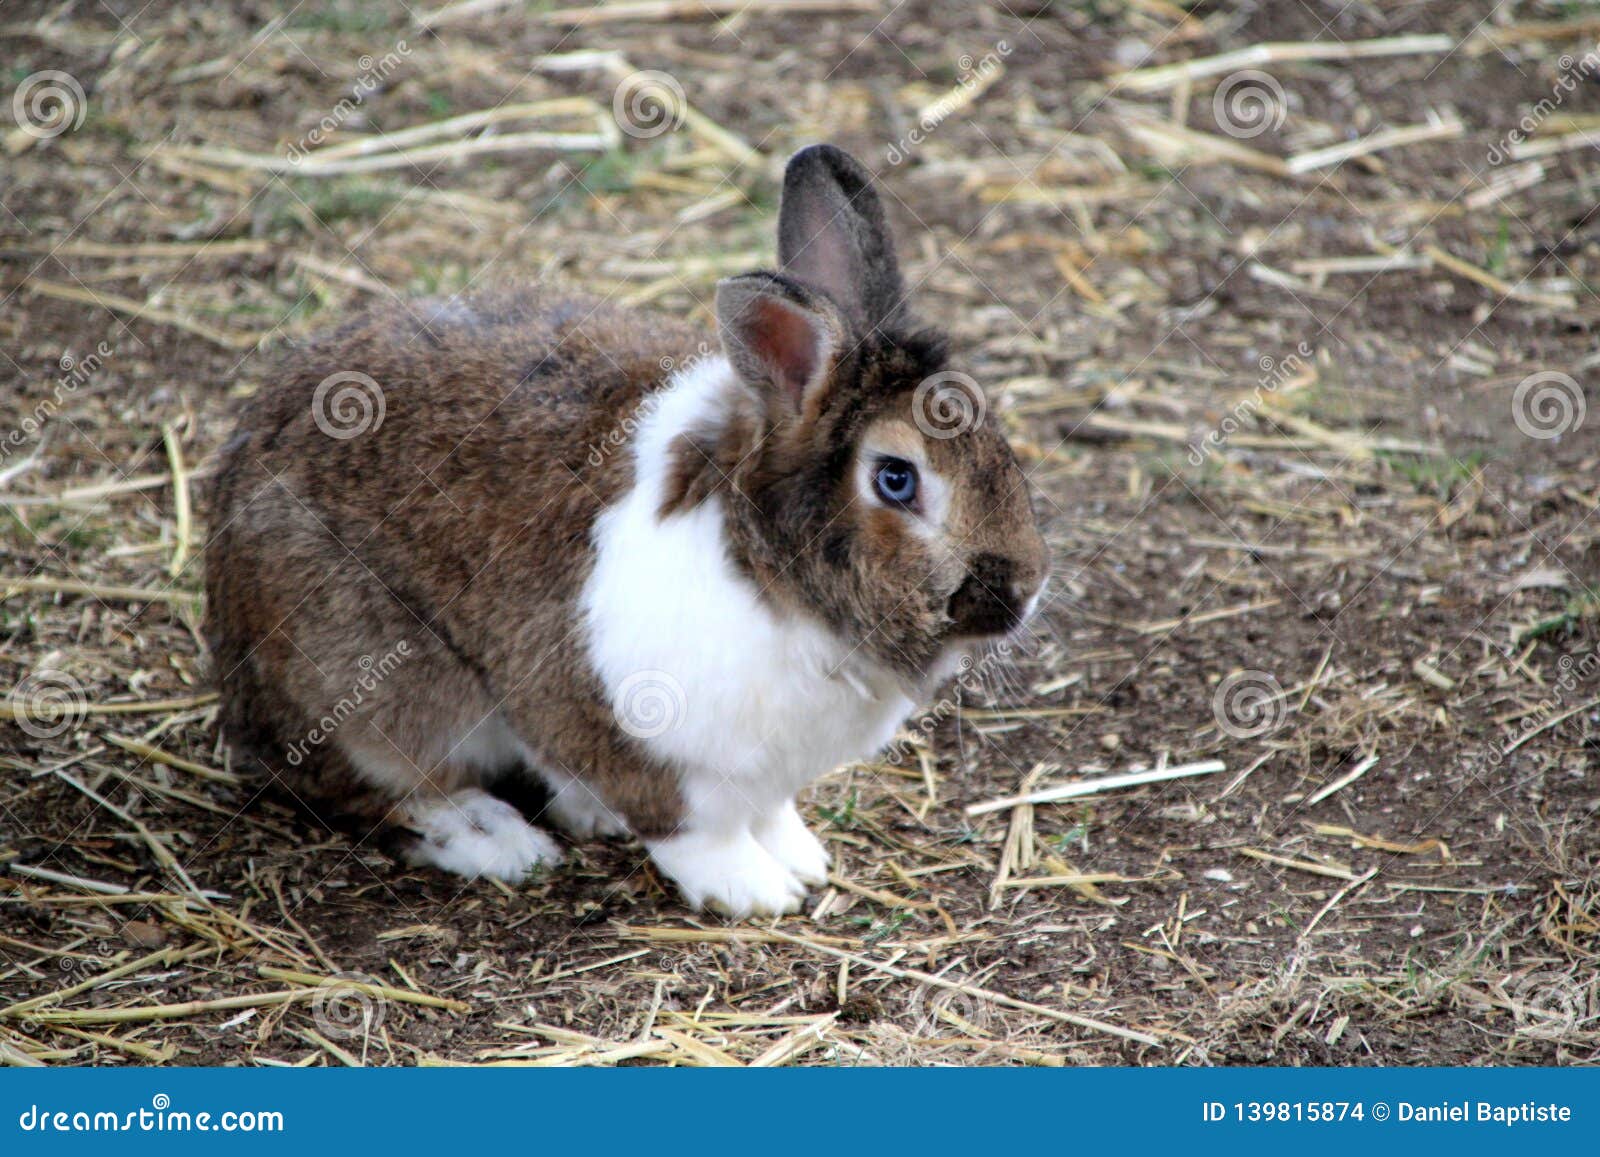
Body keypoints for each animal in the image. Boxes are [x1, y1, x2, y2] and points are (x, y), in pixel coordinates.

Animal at [205, 144, 1048, 916]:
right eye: (896, 479)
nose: (1024, 588)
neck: (767, 573)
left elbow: (770, 811)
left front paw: (801, 859)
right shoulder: (637, 742)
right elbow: (692, 829)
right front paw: (757, 891)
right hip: (372, 685)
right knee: (372, 783)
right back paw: (495, 839)